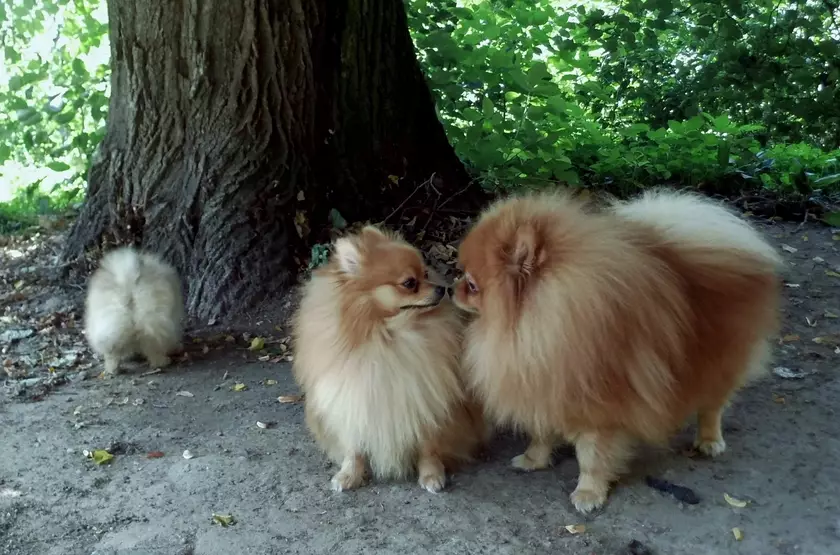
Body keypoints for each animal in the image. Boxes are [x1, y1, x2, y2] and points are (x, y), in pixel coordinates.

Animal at [84, 248, 185, 378]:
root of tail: (128, 281)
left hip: (111, 320)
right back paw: (162, 362)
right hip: (152, 319)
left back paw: (113, 369)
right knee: (153, 344)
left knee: (112, 350)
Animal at [292, 224, 486, 494]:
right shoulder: (352, 399)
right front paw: (349, 474)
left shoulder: (425, 398)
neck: (388, 336)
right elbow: (353, 446)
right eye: (409, 283)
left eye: (426, 273)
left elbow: (429, 446)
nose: (442, 288)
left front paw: (431, 474)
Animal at [452, 190, 780, 512]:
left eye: (472, 284)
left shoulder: (599, 410)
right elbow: (541, 434)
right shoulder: (543, 390)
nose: (452, 287)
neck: (532, 327)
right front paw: (533, 459)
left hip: (720, 364)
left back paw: (710, 440)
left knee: (712, 406)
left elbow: (592, 457)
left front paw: (588, 493)